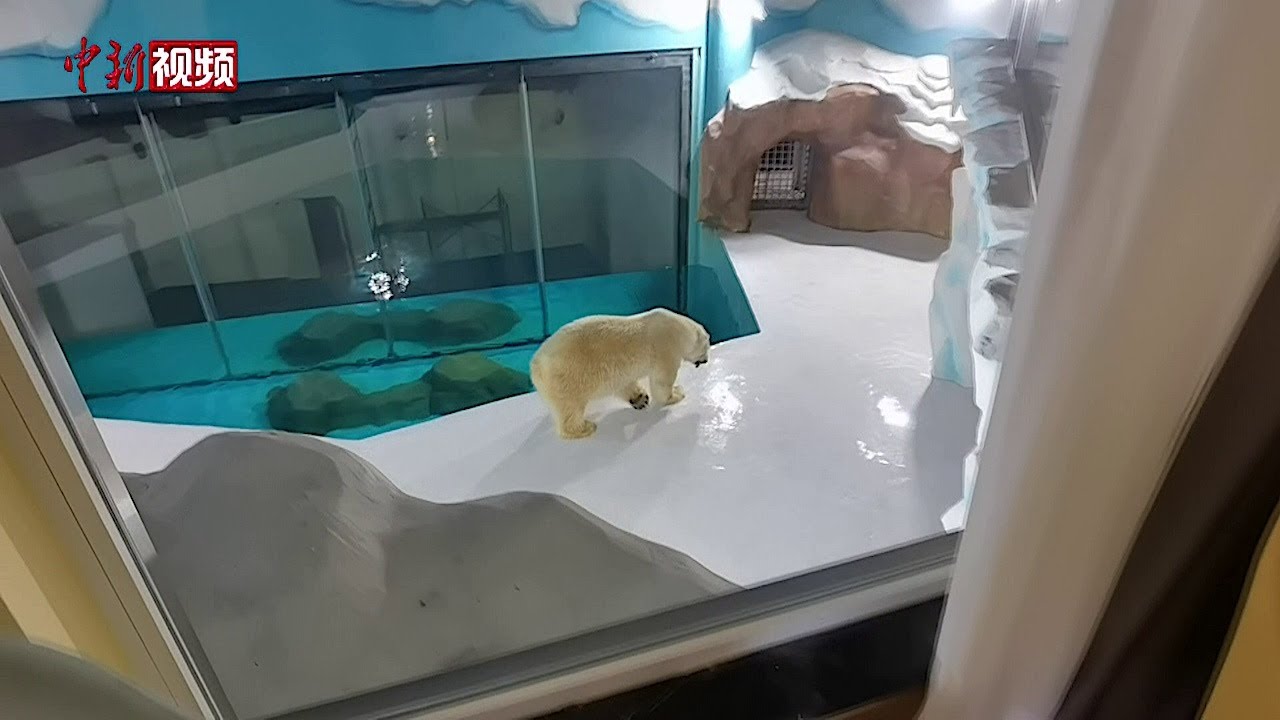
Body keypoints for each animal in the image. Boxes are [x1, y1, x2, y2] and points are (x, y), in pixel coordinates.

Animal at [530, 308, 711, 440]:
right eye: (707, 347)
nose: (706, 360)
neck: (678, 328)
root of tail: (535, 365)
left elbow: (624, 384)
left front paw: (640, 398)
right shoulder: (665, 348)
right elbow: (662, 381)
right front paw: (677, 393)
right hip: (566, 377)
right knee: (570, 407)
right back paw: (585, 428)